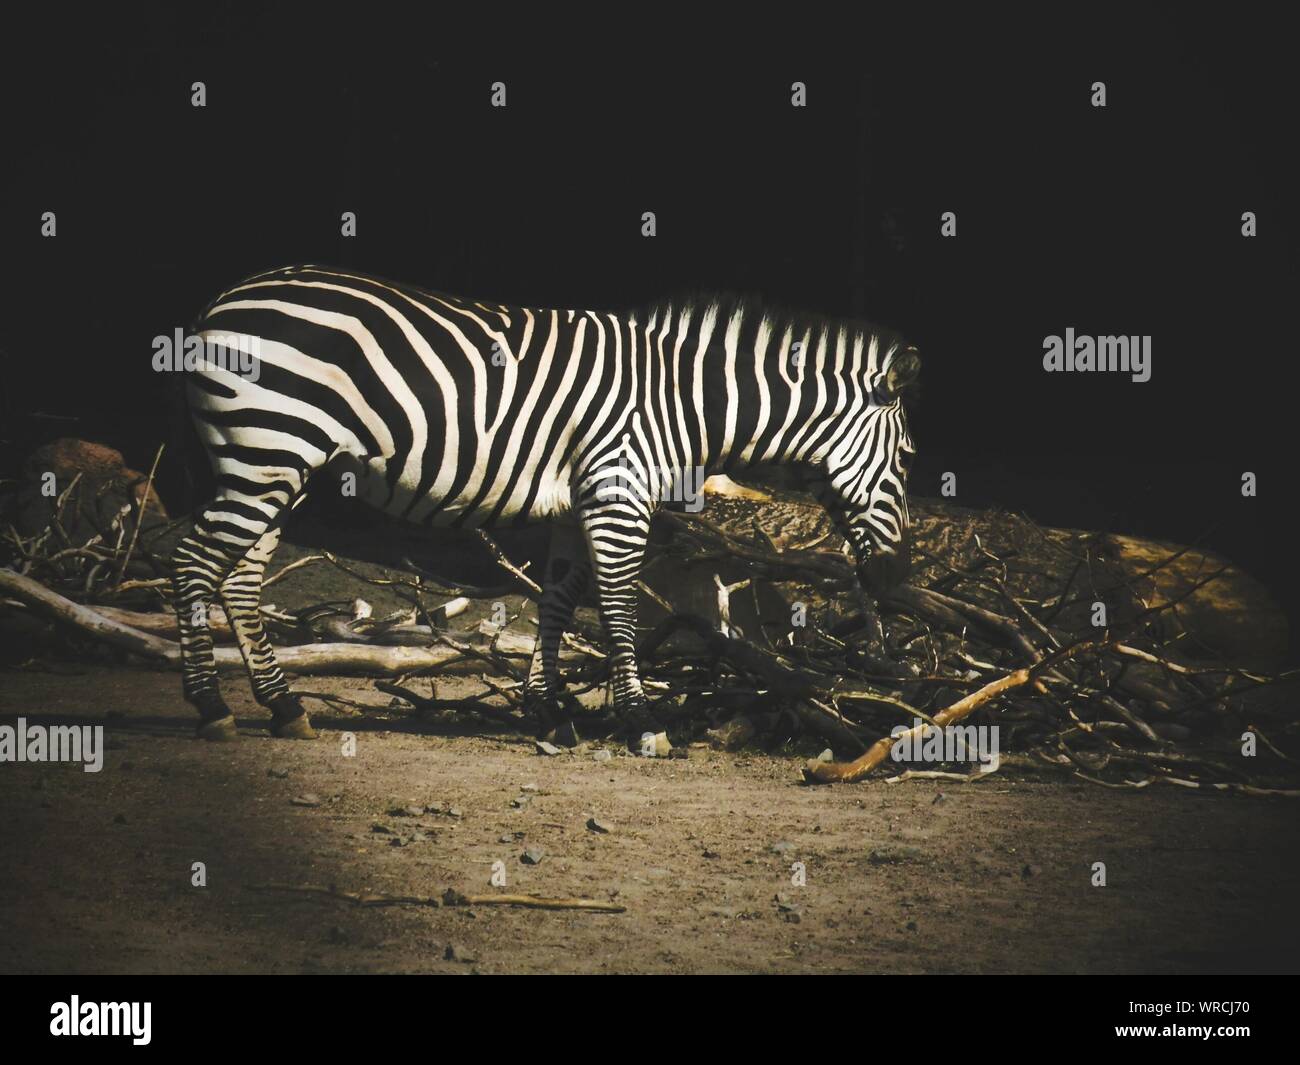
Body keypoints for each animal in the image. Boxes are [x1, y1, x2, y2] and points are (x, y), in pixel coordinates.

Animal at [172, 264, 921, 741]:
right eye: (910, 460)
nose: (895, 579)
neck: (683, 402)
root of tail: (221, 303)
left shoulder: (577, 504)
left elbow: (558, 600)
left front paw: (548, 710)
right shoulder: (619, 491)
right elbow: (618, 605)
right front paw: (640, 720)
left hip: (276, 464)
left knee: (240, 576)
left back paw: (282, 705)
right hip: (267, 451)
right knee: (192, 563)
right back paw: (210, 707)